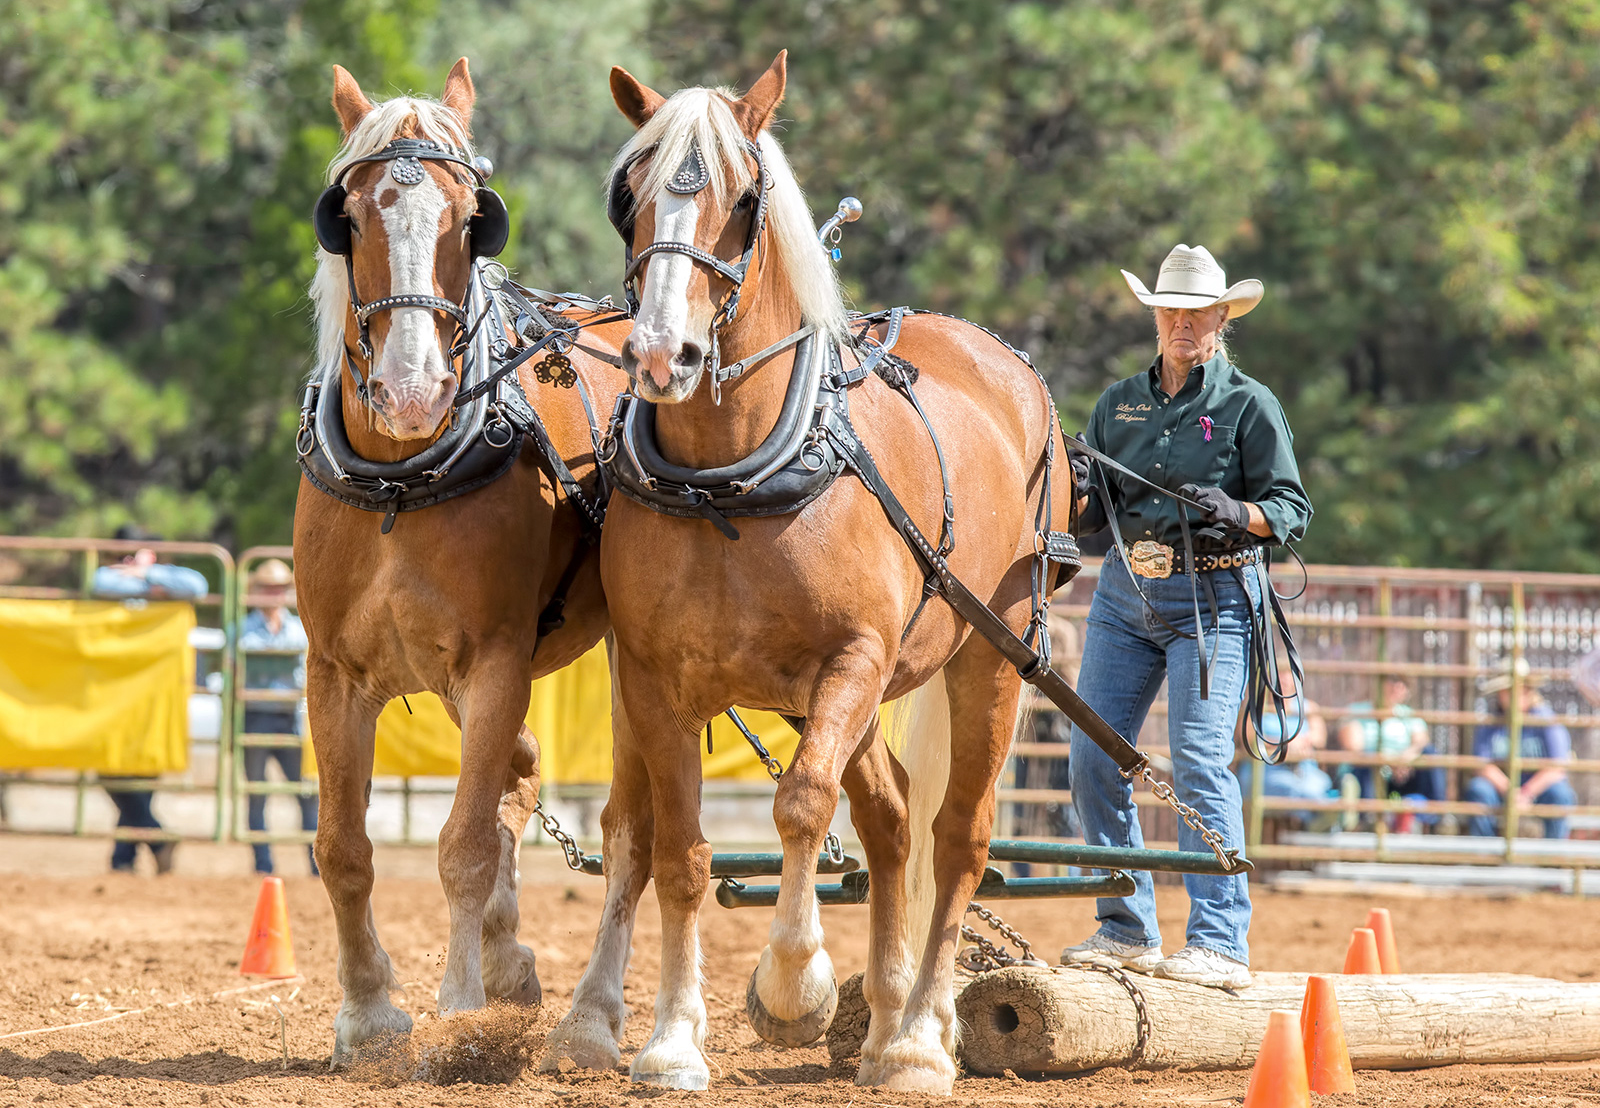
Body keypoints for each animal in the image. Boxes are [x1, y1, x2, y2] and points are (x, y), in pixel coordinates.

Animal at [292, 59, 628, 1062]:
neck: (403, 479)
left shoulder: (496, 660)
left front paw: (460, 1013)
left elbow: (463, 845)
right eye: (348, 216)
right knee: (520, 773)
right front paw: (367, 1015)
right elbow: (343, 847)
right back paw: (511, 957)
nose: (414, 391)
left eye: (473, 218)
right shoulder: (334, 671)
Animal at [540, 52, 1077, 1093]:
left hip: (988, 657)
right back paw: (888, 1021)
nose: (660, 354)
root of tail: (1000, 358)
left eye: (746, 201)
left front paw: (795, 984)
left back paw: (920, 1036)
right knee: (893, 817)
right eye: (627, 198)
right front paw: (672, 1042)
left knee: (956, 834)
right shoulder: (655, 678)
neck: (732, 477)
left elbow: (797, 805)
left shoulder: (855, 658)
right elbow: (681, 852)